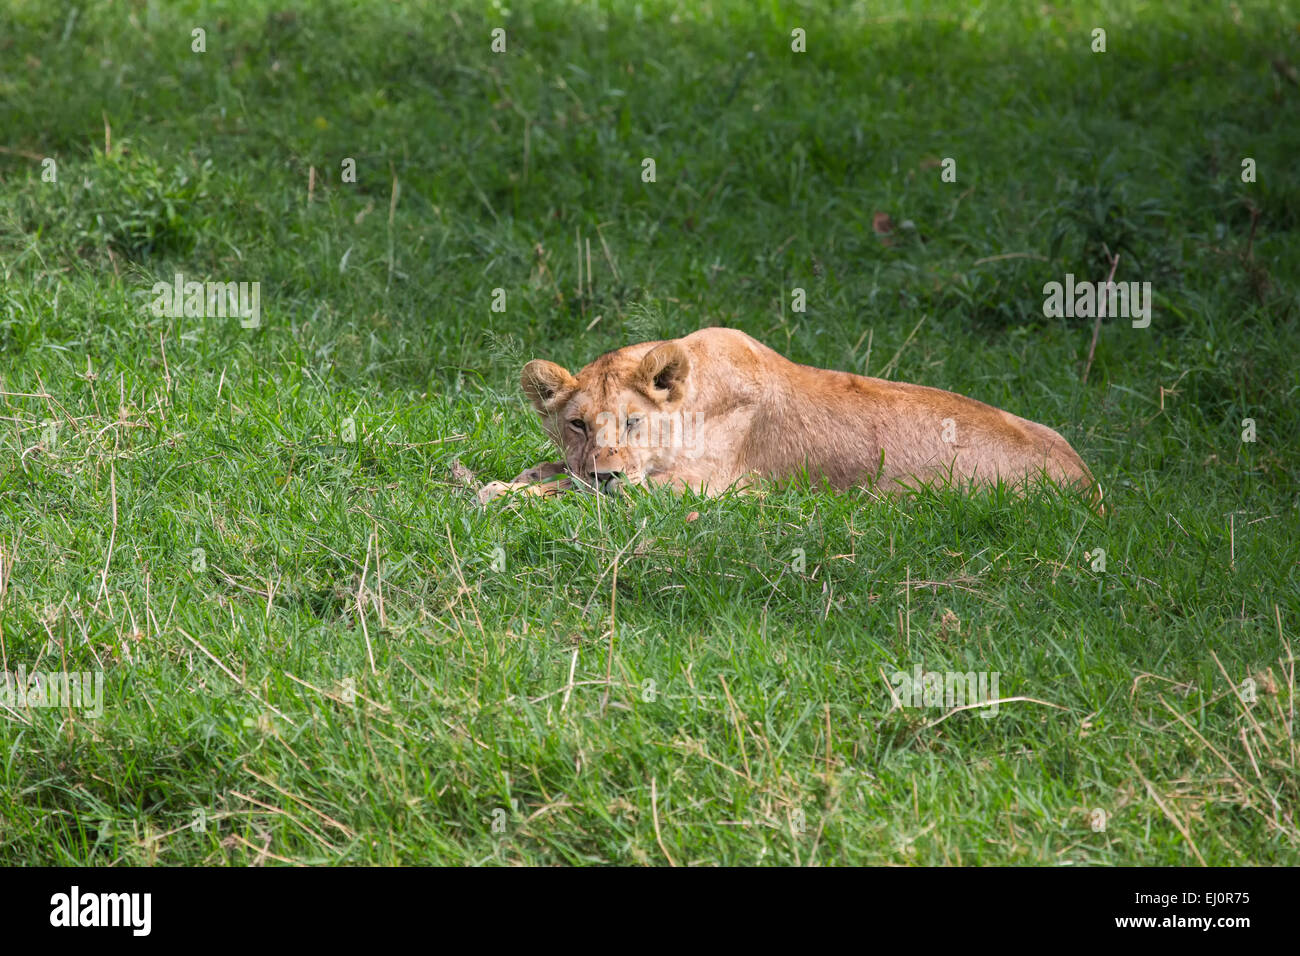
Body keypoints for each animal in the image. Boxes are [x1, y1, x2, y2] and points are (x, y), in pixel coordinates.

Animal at [478, 327, 1101, 507]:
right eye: (578, 424)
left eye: (633, 422)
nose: (604, 471)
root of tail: (1089, 482)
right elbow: (554, 471)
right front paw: (517, 479)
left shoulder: (697, 488)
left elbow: (571, 491)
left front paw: (500, 492)